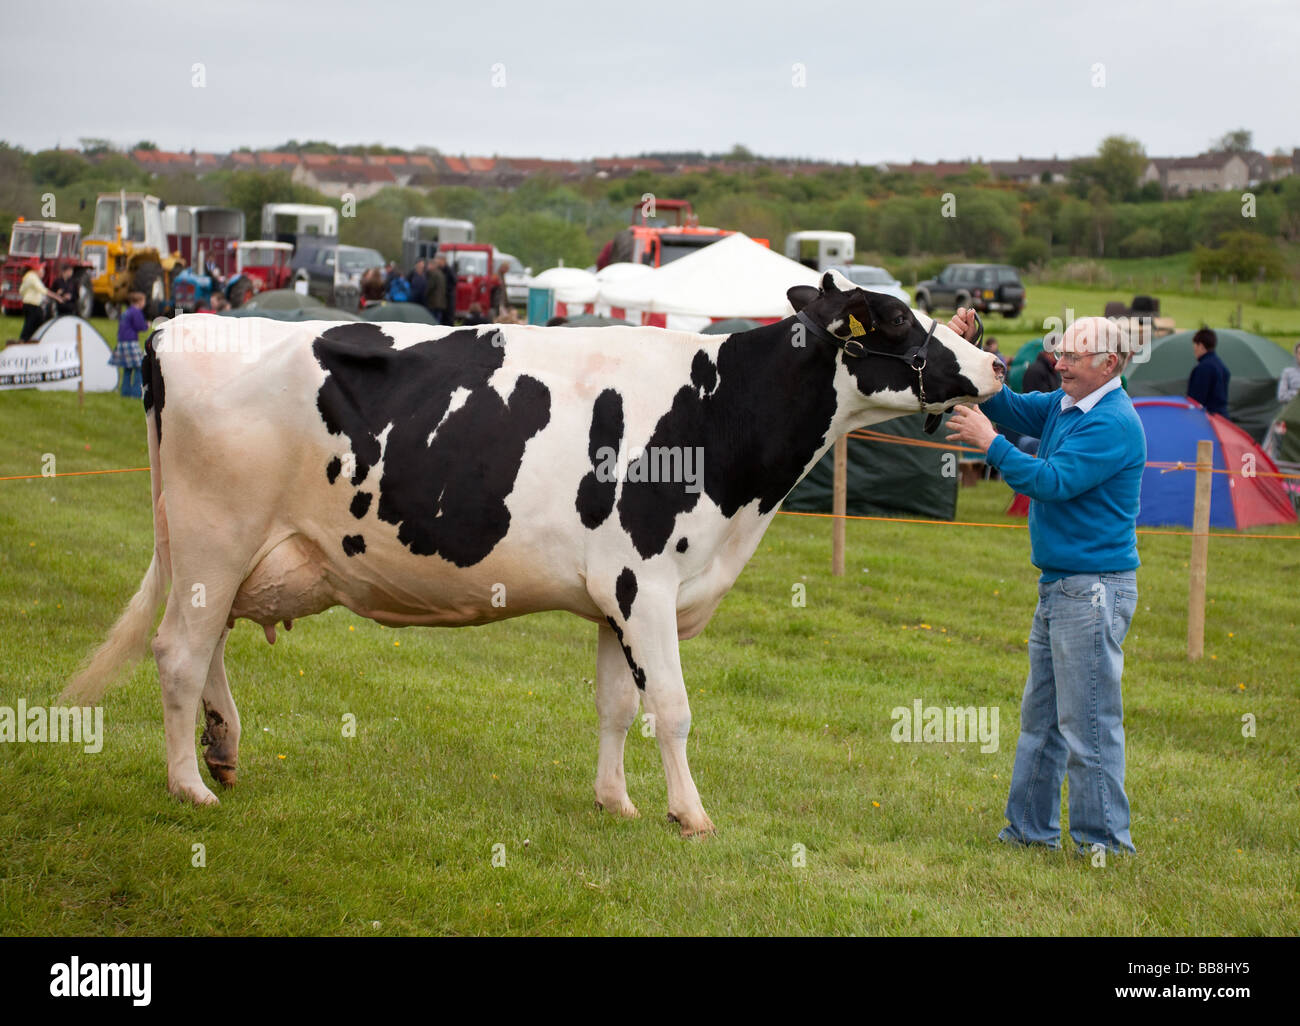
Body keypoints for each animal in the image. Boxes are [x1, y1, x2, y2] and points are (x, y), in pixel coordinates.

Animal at [65, 271, 1003, 836]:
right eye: (898, 321)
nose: (993, 360)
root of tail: (179, 329)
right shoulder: (647, 581)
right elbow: (674, 708)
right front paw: (691, 815)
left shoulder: (616, 596)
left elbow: (618, 706)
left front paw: (616, 801)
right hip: (212, 537)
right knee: (179, 653)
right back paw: (187, 786)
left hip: (227, 552)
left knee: (209, 646)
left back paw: (222, 753)